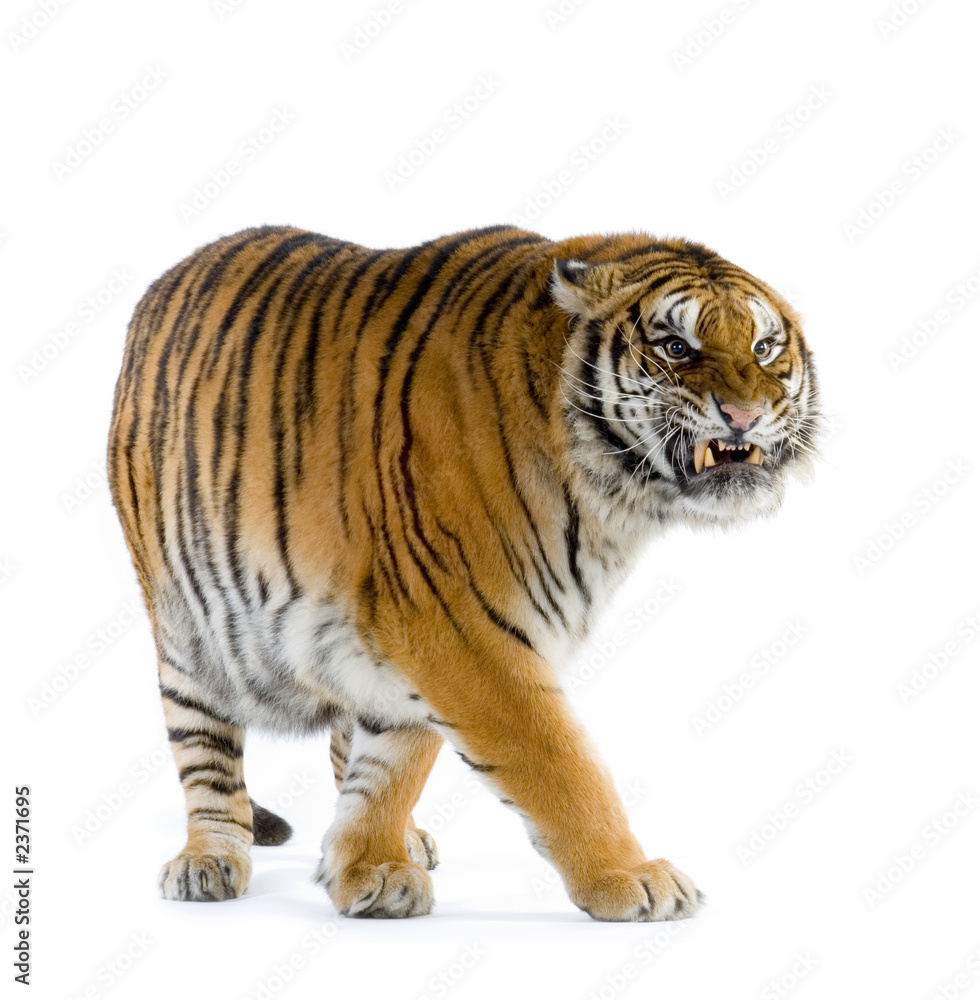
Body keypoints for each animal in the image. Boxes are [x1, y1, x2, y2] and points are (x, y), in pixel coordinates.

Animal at [107, 224, 818, 921]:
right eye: (676, 346)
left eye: (763, 347)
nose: (746, 415)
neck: (610, 499)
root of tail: (175, 271)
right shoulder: (459, 624)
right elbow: (558, 764)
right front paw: (632, 879)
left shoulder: (412, 634)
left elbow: (392, 765)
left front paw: (369, 865)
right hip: (187, 630)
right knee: (205, 751)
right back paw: (207, 861)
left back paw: (405, 840)